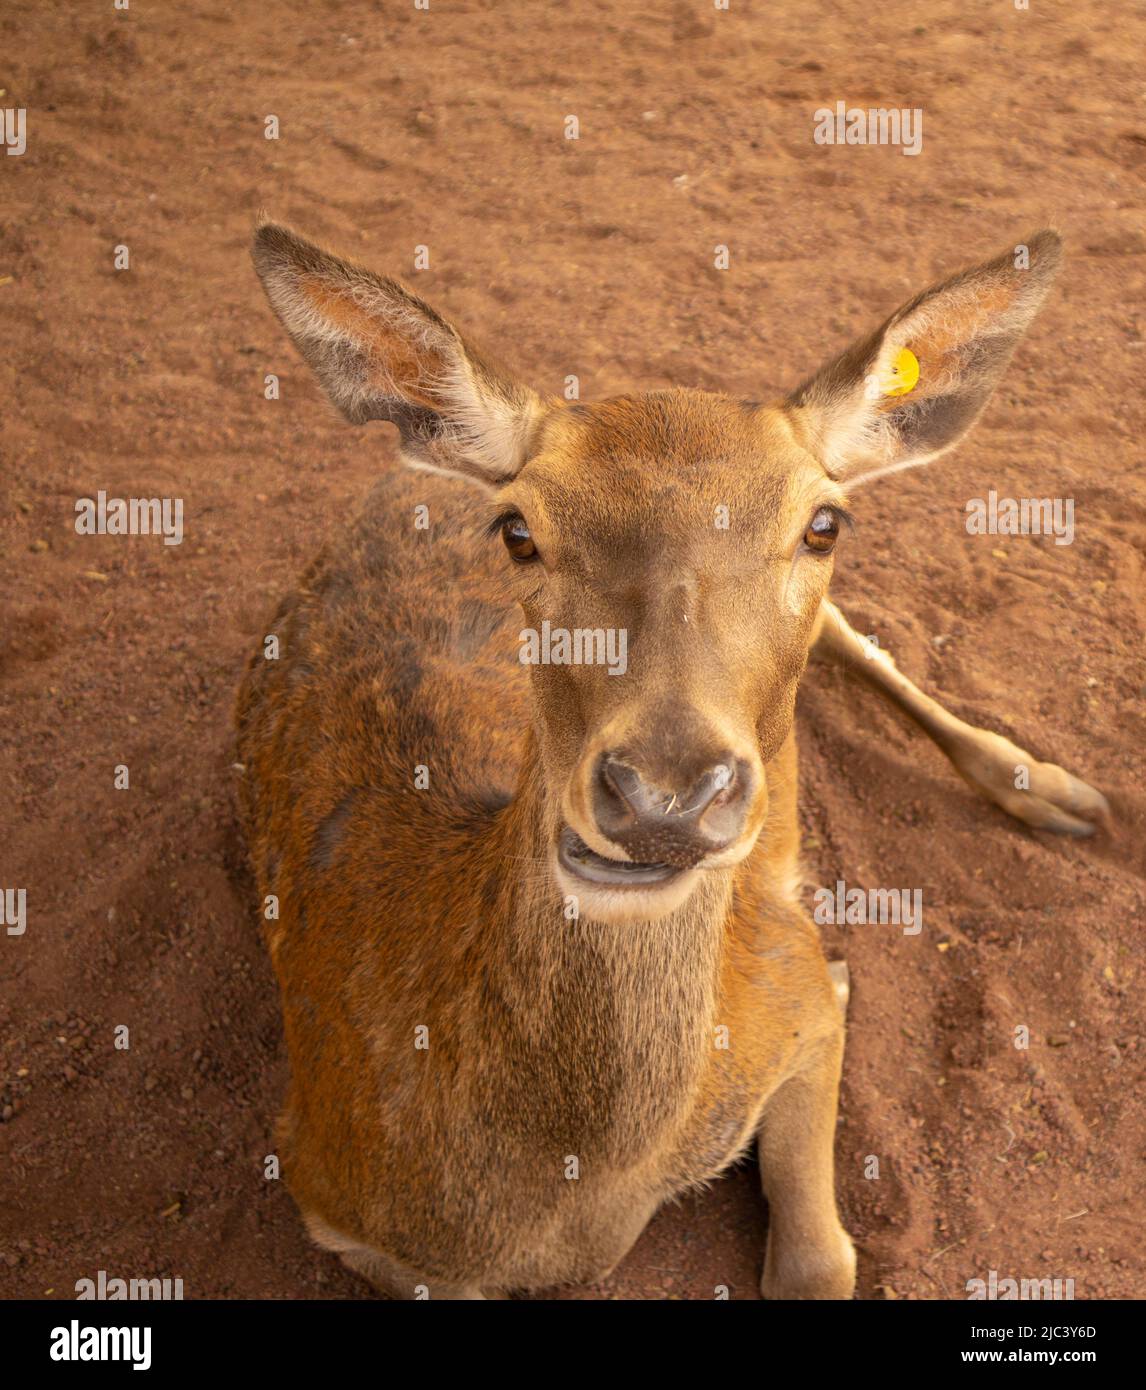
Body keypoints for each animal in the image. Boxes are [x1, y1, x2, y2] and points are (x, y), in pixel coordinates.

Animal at [236, 223, 1109, 1300]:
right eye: (517, 530)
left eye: (824, 523)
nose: (663, 796)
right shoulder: (329, 1194)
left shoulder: (793, 990)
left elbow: (820, 1257)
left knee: (858, 642)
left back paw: (1053, 788)